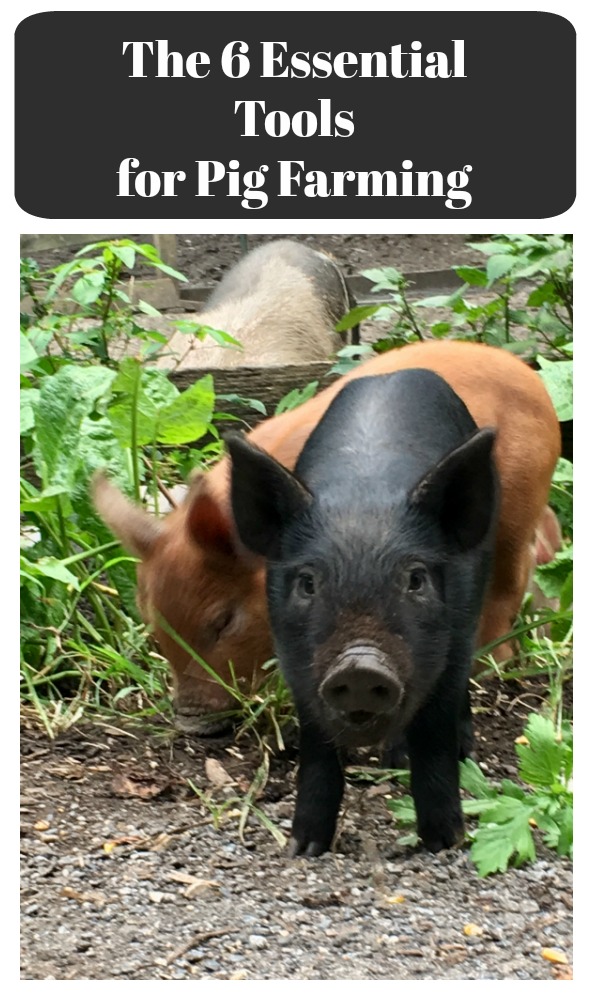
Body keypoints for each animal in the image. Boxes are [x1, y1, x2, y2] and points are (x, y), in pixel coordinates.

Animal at [92, 341, 561, 737]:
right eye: (154, 626)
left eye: (222, 620)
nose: (191, 722)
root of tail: (529, 374)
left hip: (519, 500)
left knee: (510, 578)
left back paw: (490, 665)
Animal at [226, 370, 499, 854]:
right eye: (308, 582)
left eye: (415, 579)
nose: (359, 665)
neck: (362, 500)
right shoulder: (297, 665)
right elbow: (317, 751)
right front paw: (303, 849)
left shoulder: (452, 642)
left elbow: (435, 736)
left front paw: (444, 843)